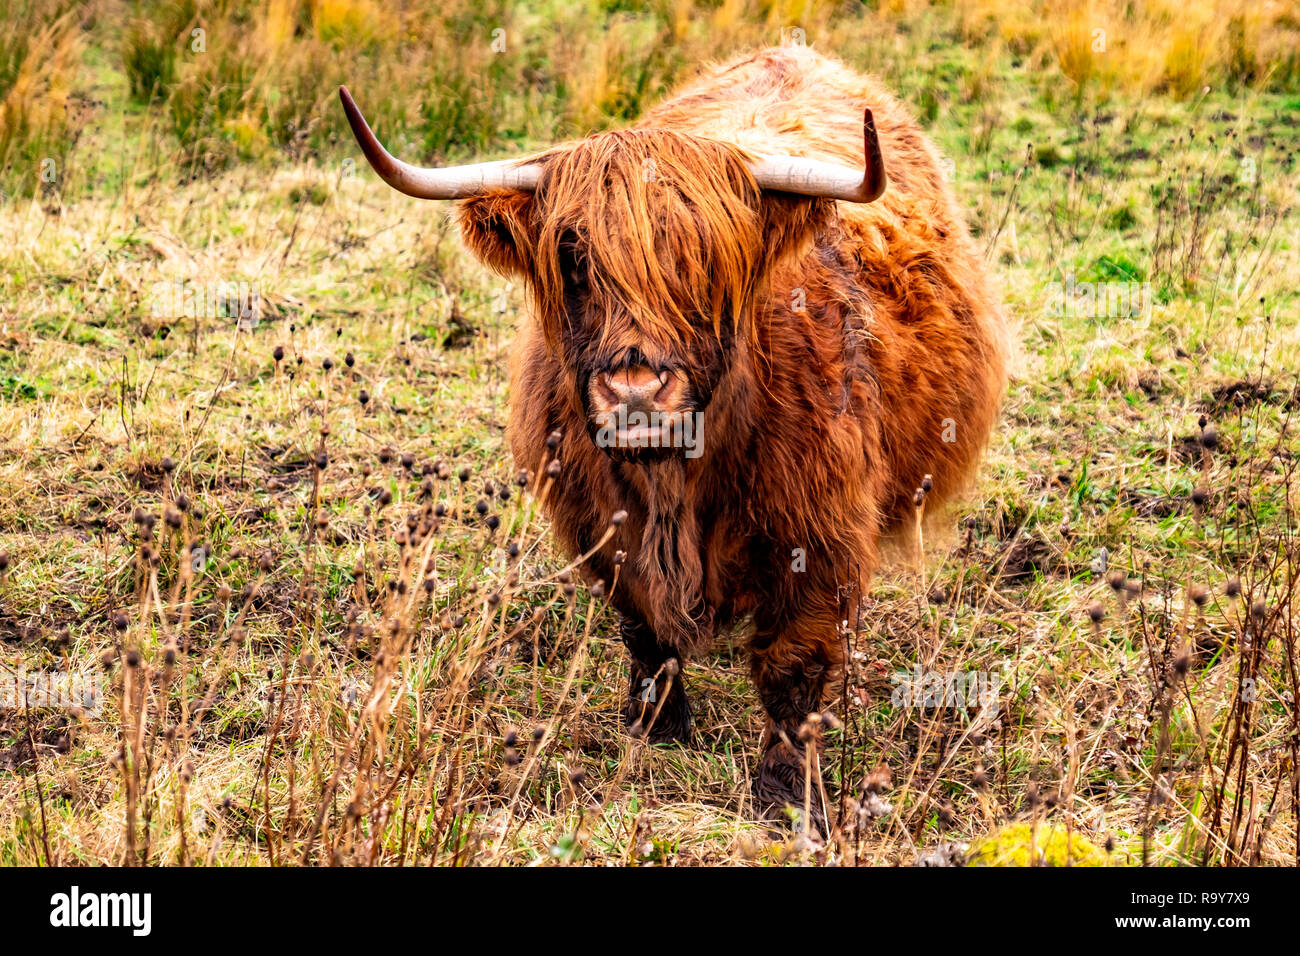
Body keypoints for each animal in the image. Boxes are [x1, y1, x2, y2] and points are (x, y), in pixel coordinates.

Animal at [340, 45, 1009, 829]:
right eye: (573, 257)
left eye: (706, 261)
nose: (635, 395)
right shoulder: (596, 522)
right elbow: (643, 631)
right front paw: (658, 728)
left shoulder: (823, 531)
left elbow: (793, 668)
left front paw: (787, 793)